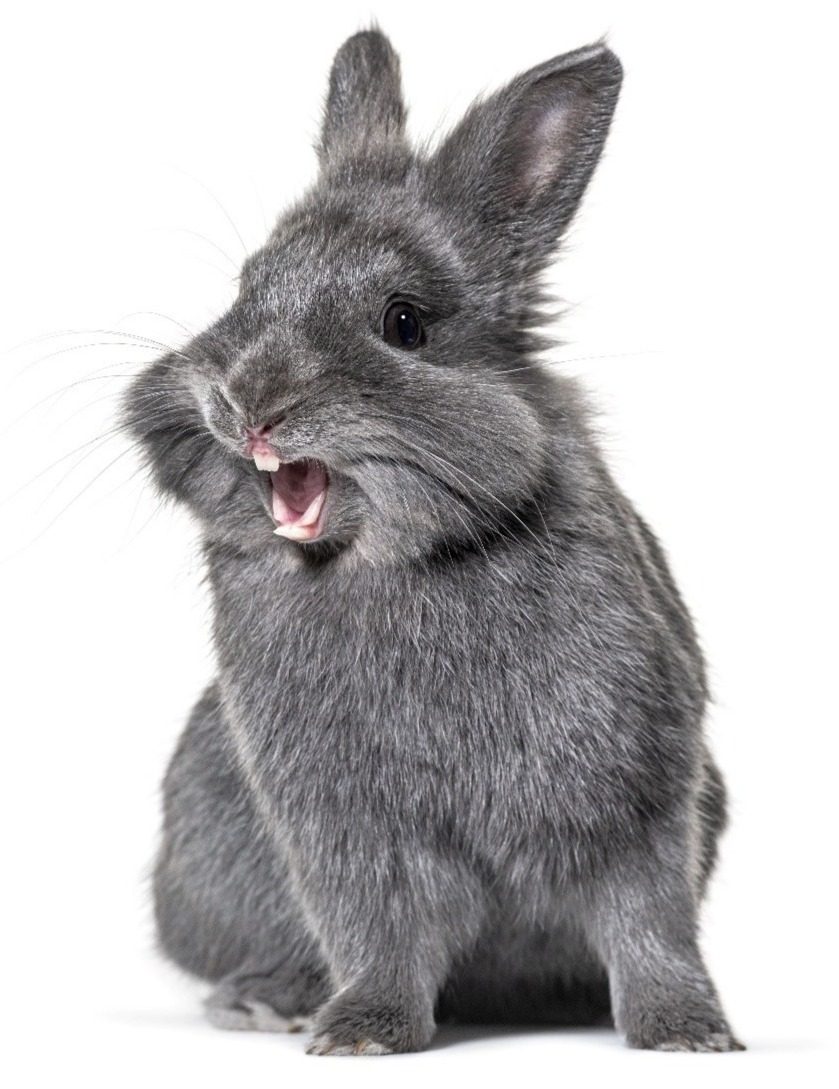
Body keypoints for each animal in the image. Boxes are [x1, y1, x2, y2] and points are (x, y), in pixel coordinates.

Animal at [123, 29, 744, 1055]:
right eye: (247, 289)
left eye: (403, 322)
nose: (249, 404)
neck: (395, 564)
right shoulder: (344, 825)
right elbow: (375, 928)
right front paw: (362, 1031)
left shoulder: (637, 791)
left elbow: (647, 921)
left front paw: (686, 1032)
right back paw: (265, 997)